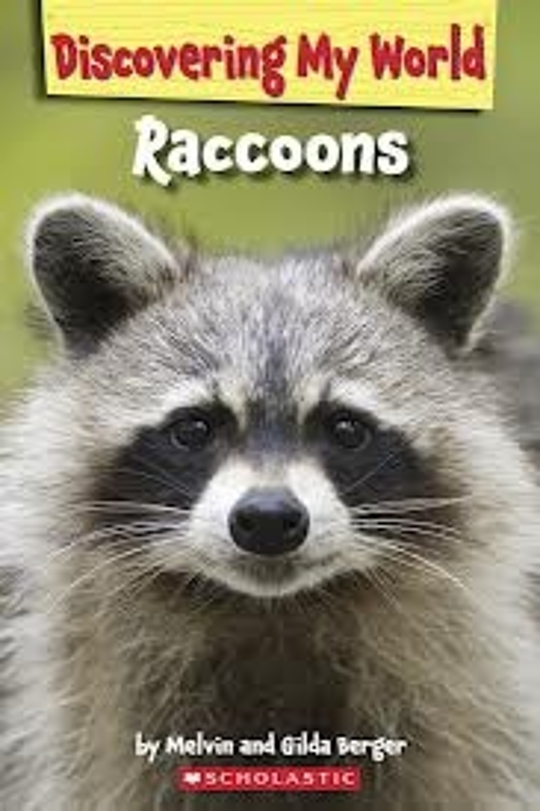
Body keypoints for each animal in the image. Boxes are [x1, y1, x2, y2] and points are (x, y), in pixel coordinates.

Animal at [1, 192, 539, 810]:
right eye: (194, 428)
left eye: (346, 428)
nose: (267, 519)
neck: (272, 613)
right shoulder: (88, 715)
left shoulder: (474, 703)